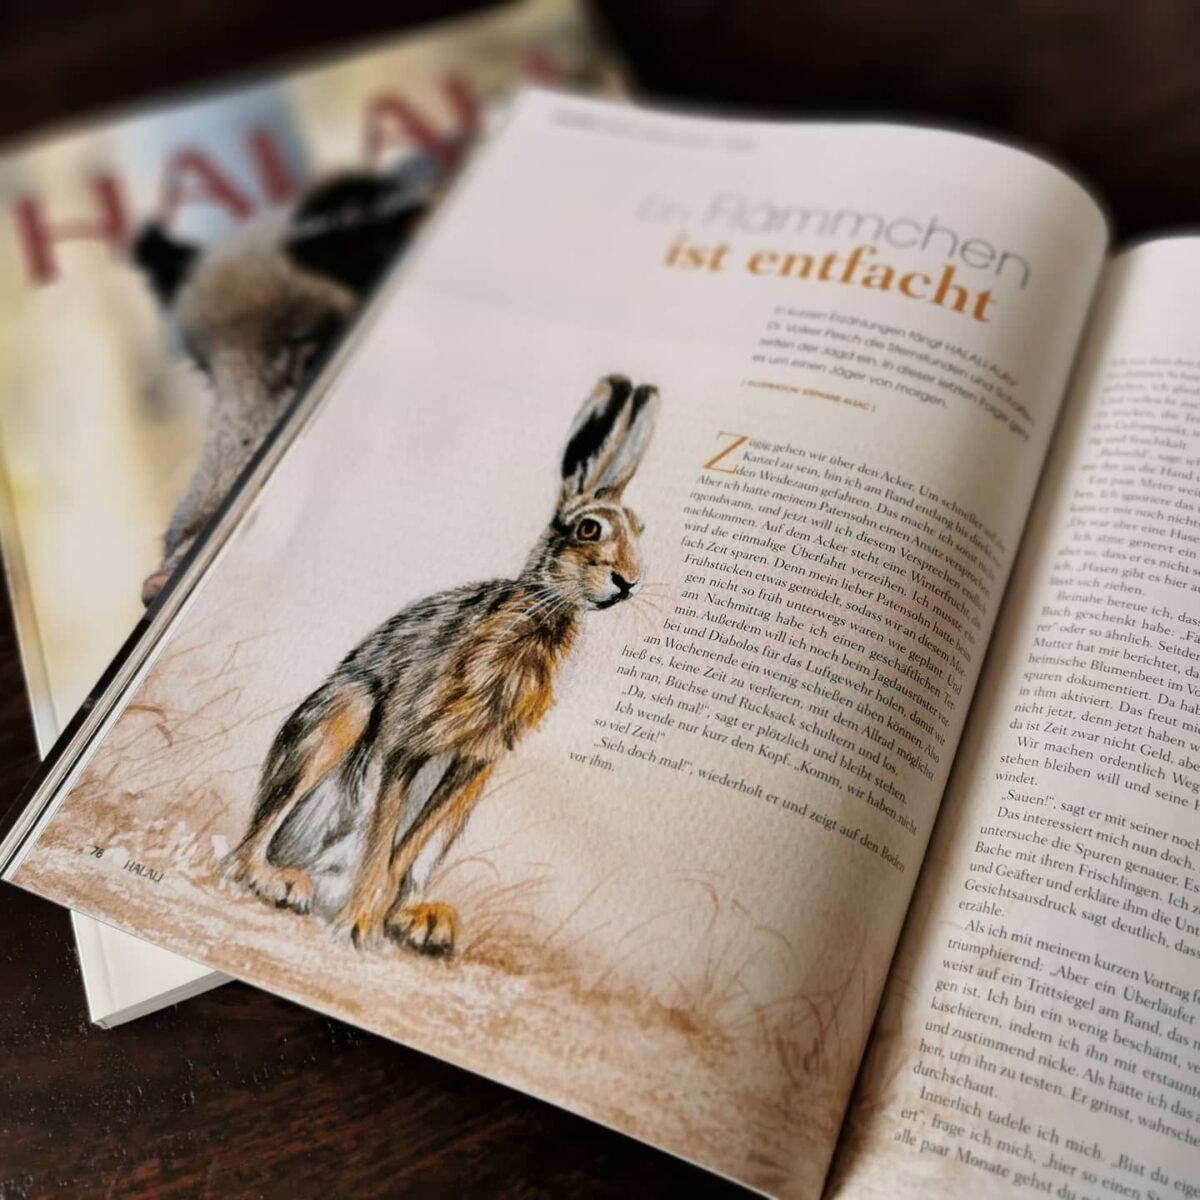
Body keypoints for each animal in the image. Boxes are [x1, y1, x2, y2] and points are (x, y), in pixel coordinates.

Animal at [226, 374, 660, 954]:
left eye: (639, 530)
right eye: (588, 529)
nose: (628, 582)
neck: (539, 612)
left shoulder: (474, 761)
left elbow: (404, 847)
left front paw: (372, 920)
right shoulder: (407, 741)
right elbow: (383, 836)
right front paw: (357, 925)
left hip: (463, 804)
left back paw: (422, 920)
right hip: (342, 716)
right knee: (253, 842)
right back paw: (281, 882)